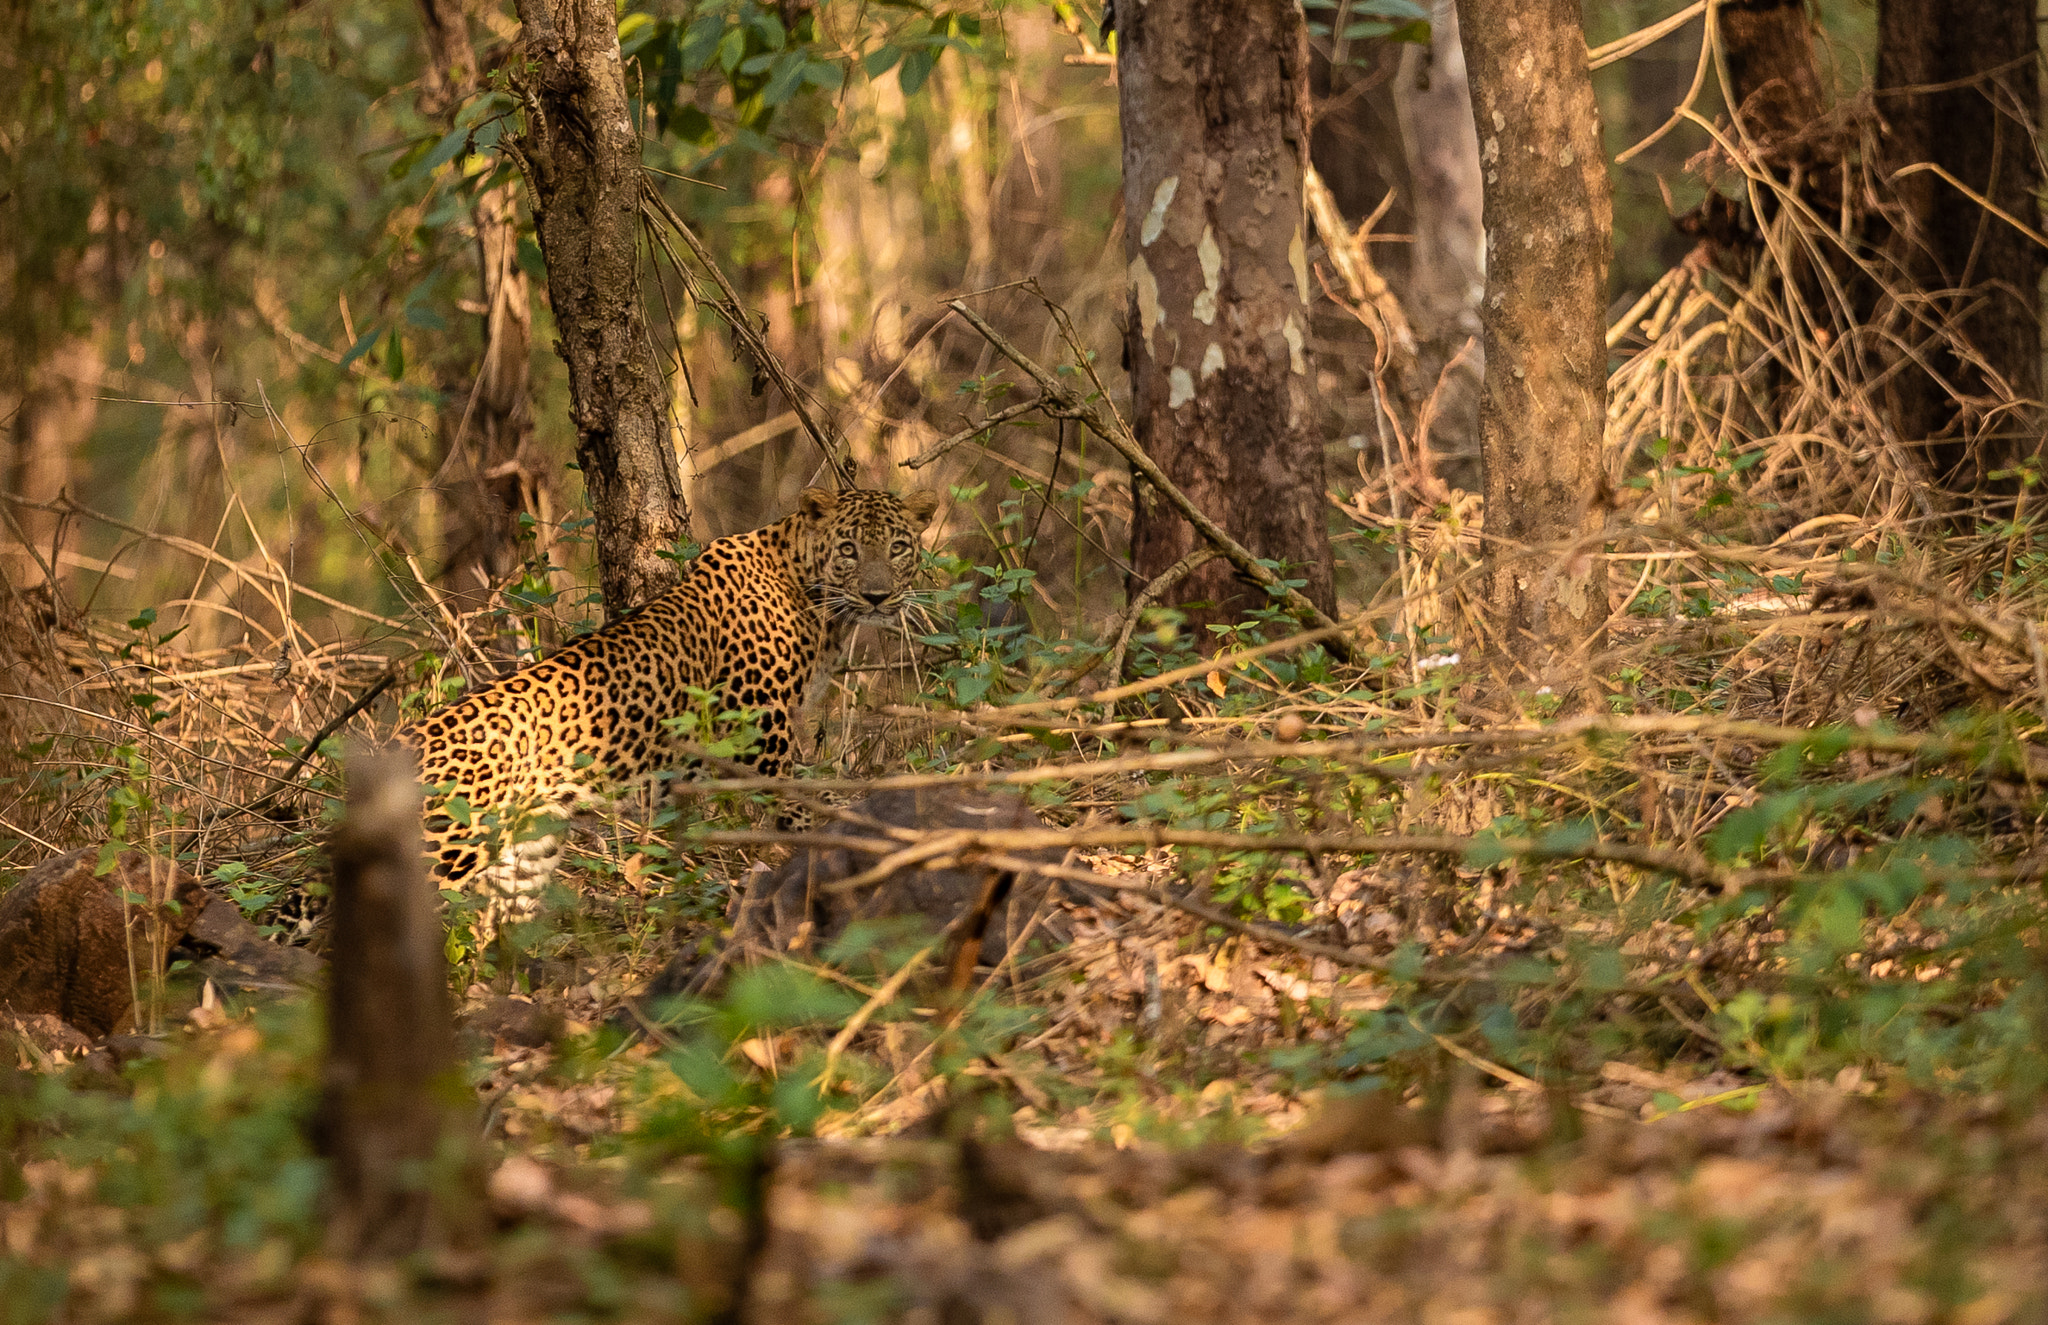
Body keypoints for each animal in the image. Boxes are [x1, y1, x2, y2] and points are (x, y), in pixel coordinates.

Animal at [394, 485, 939, 936]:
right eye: (849, 549)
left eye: (897, 547)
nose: (877, 595)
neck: (817, 605)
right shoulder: (761, 739)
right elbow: (803, 806)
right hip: (447, 841)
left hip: (528, 848)